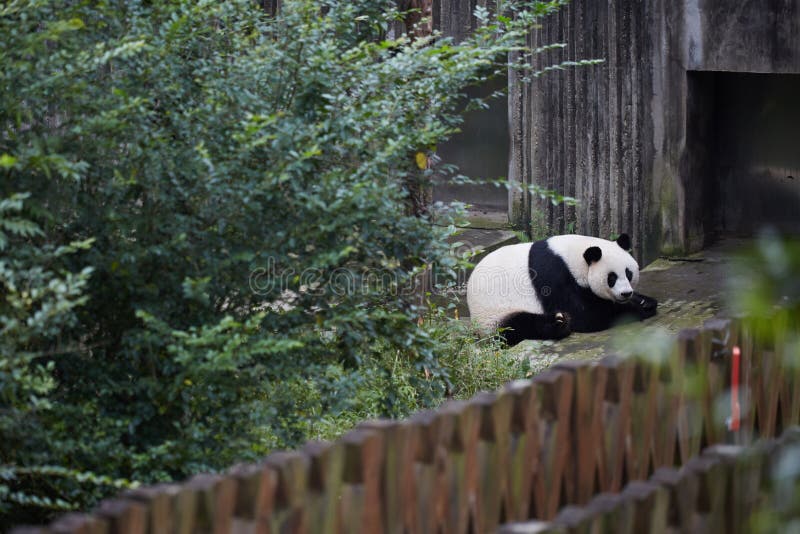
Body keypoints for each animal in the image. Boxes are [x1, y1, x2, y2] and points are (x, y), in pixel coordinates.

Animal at [466, 233, 658, 346]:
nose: (626, 293)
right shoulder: (553, 276)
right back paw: (558, 323)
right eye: (612, 278)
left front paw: (645, 301)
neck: (571, 255)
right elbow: (585, 316)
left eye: (628, 273)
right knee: (517, 326)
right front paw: (637, 308)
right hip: (494, 314)